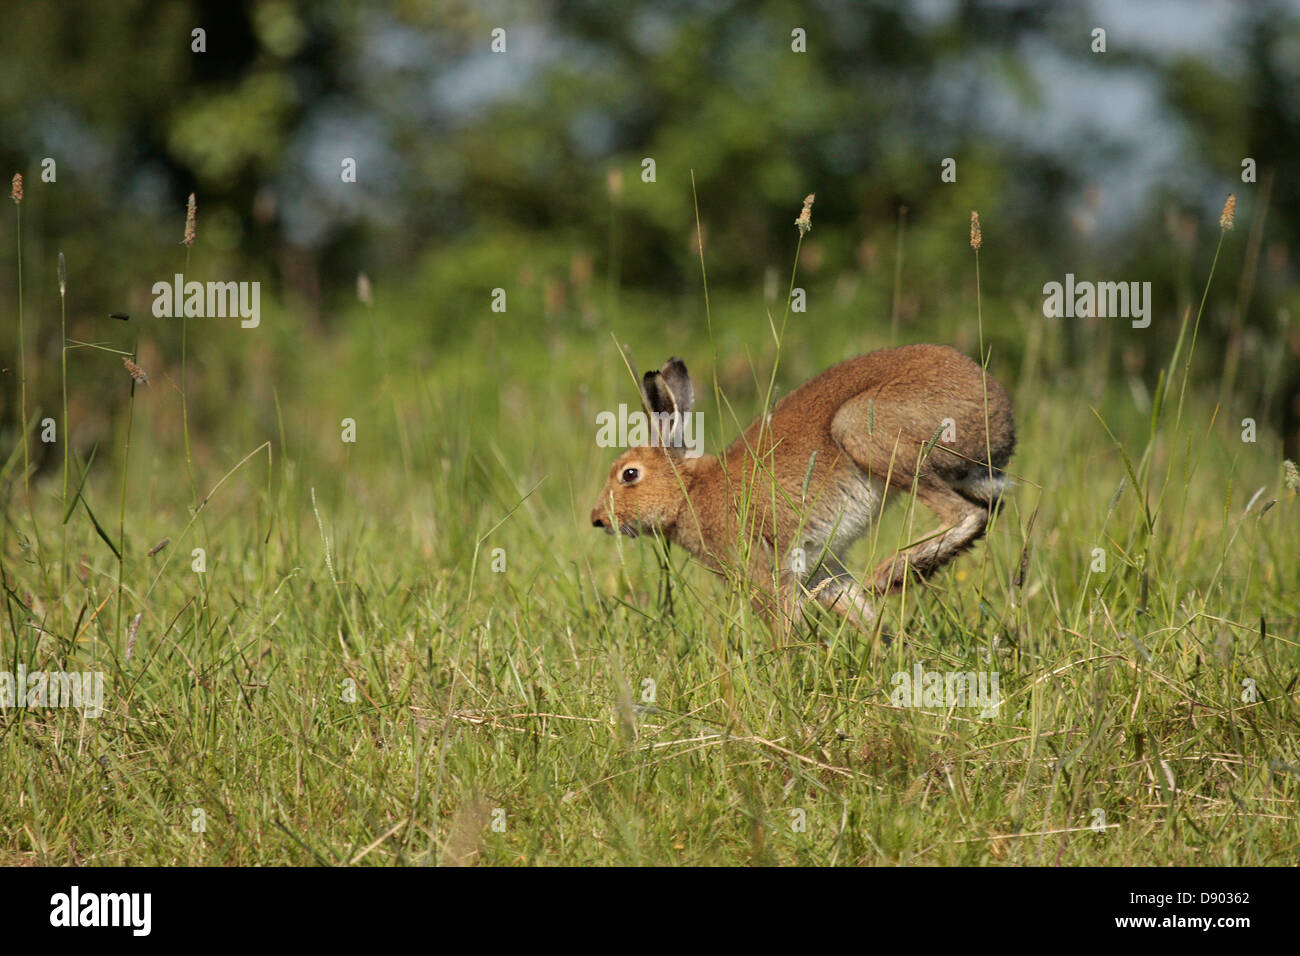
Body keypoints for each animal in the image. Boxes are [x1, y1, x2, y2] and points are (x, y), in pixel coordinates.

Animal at [590, 344, 1016, 637]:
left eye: (629, 474)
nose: (597, 520)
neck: (688, 493)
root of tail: (999, 416)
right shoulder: (821, 571)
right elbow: (861, 615)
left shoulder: (763, 573)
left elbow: (784, 627)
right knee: (988, 509)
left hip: (864, 432)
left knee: (965, 514)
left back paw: (887, 576)